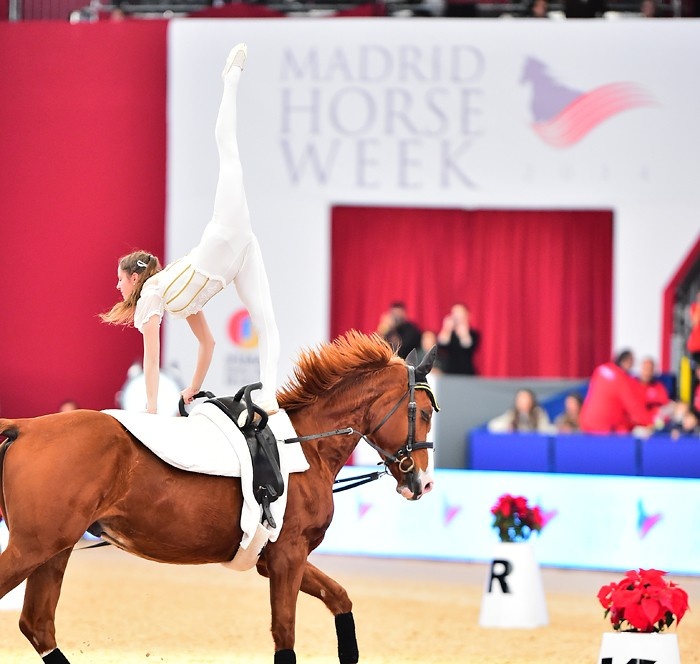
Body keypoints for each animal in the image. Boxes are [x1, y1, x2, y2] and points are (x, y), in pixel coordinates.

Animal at [0, 331, 439, 664]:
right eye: (426, 412)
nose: (422, 482)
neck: (306, 446)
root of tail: (25, 427)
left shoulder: (276, 558)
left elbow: (340, 599)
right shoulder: (289, 557)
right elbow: (285, 635)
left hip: (56, 549)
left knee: (38, 625)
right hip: (33, 548)